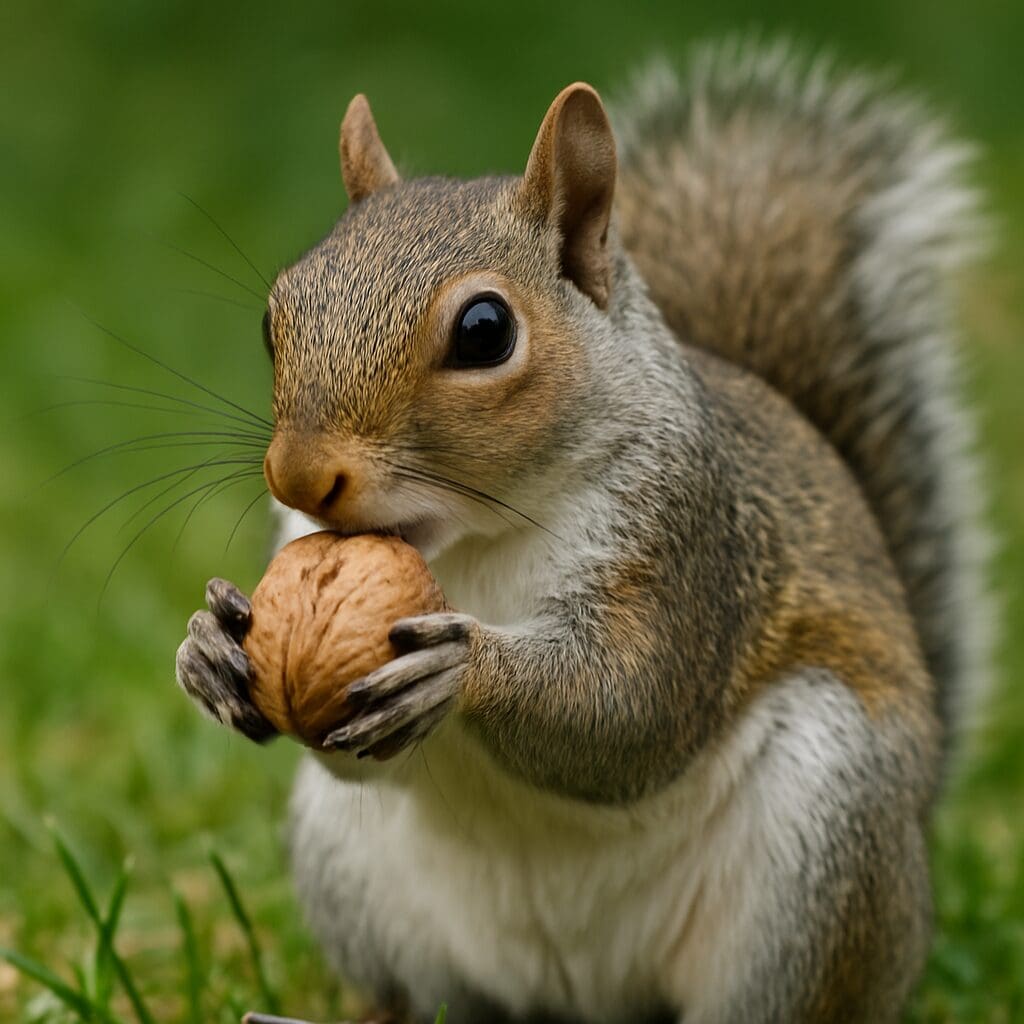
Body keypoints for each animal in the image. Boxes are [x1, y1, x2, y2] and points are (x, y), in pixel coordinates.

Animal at [175, 39, 987, 1024]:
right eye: (274, 315)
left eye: (485, 331)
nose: (298, 475)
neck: (469, 541)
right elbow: (352, 754)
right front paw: (209, 647)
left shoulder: (689, 544)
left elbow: (629, 711)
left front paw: (464, 667)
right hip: (362, 884)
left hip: (825, 843)